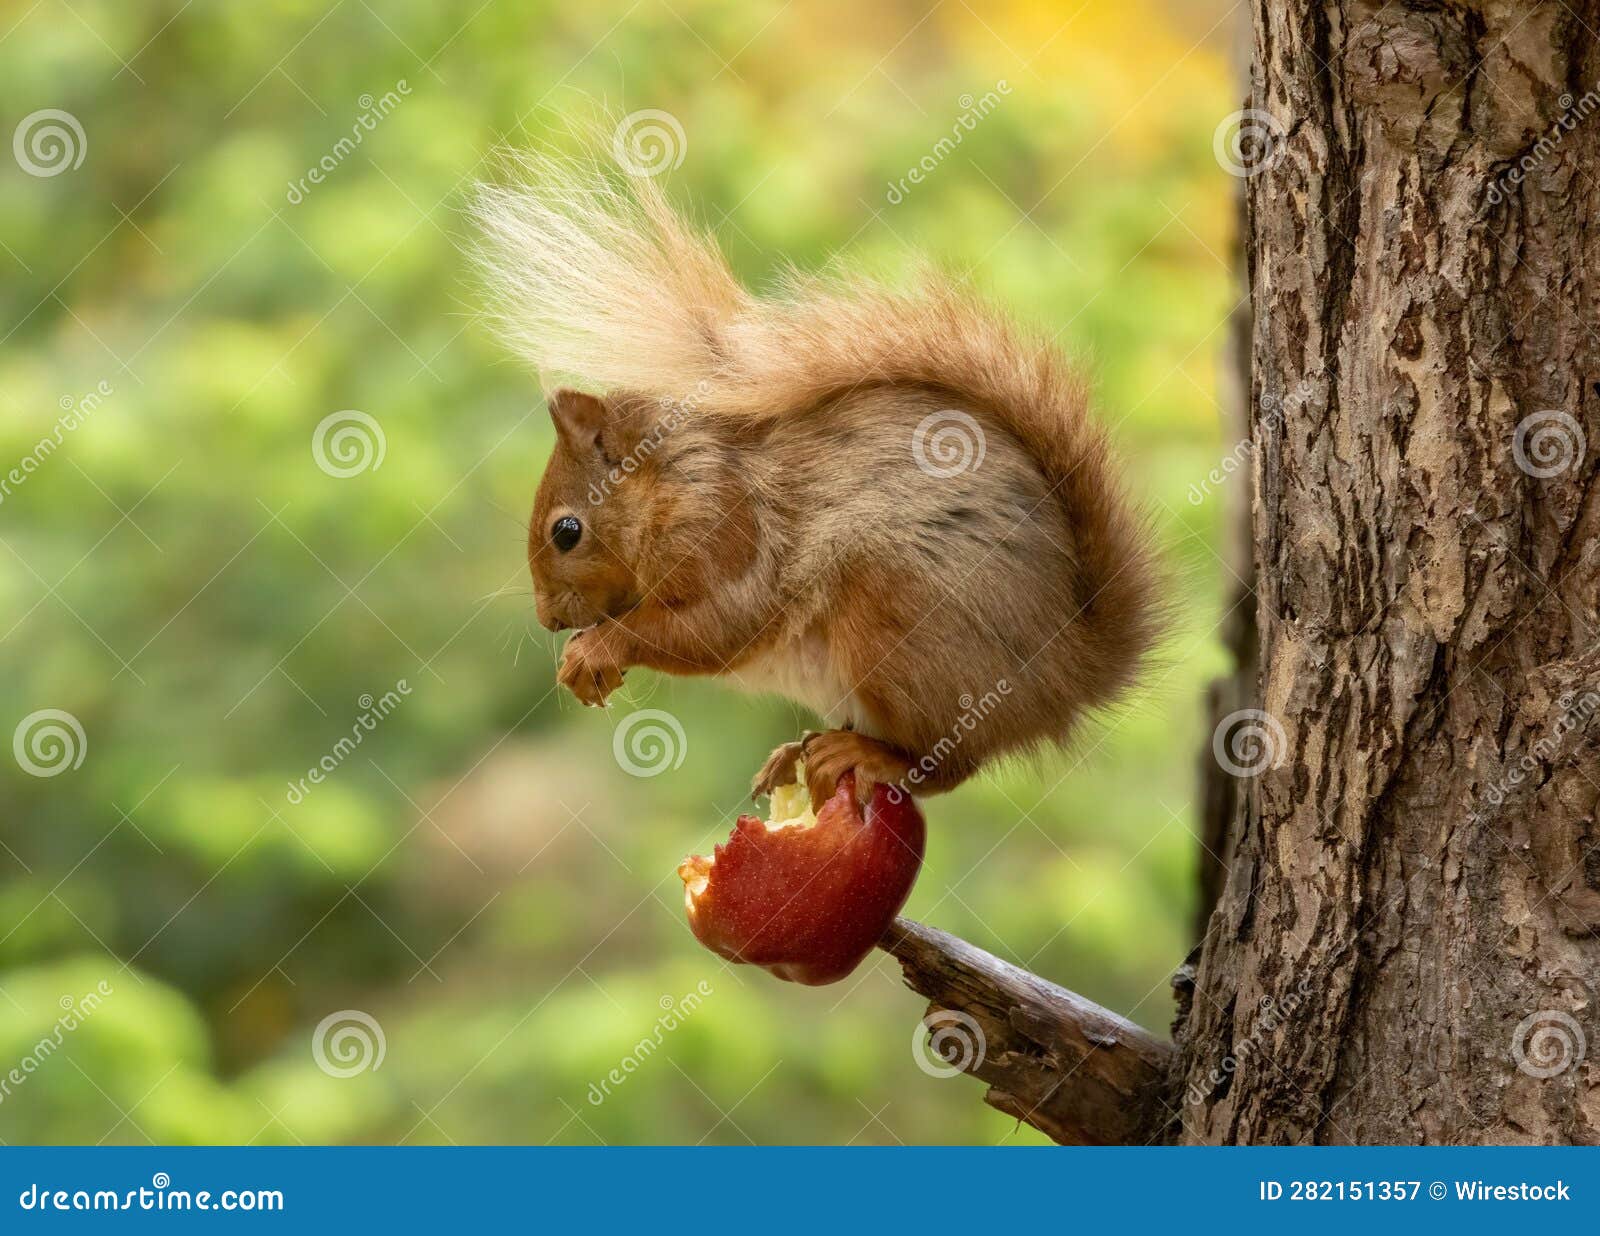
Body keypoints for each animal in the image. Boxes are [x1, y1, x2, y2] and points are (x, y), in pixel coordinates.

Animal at [473, 151, 1160, 810]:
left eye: (567, 531)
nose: (549, 621)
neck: (668, 483)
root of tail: (1066, 674)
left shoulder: (729, 530)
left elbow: (716, 627)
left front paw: (597, 651)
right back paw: (799, 753)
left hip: (899, 621)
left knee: (948, 764)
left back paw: (870, 757)